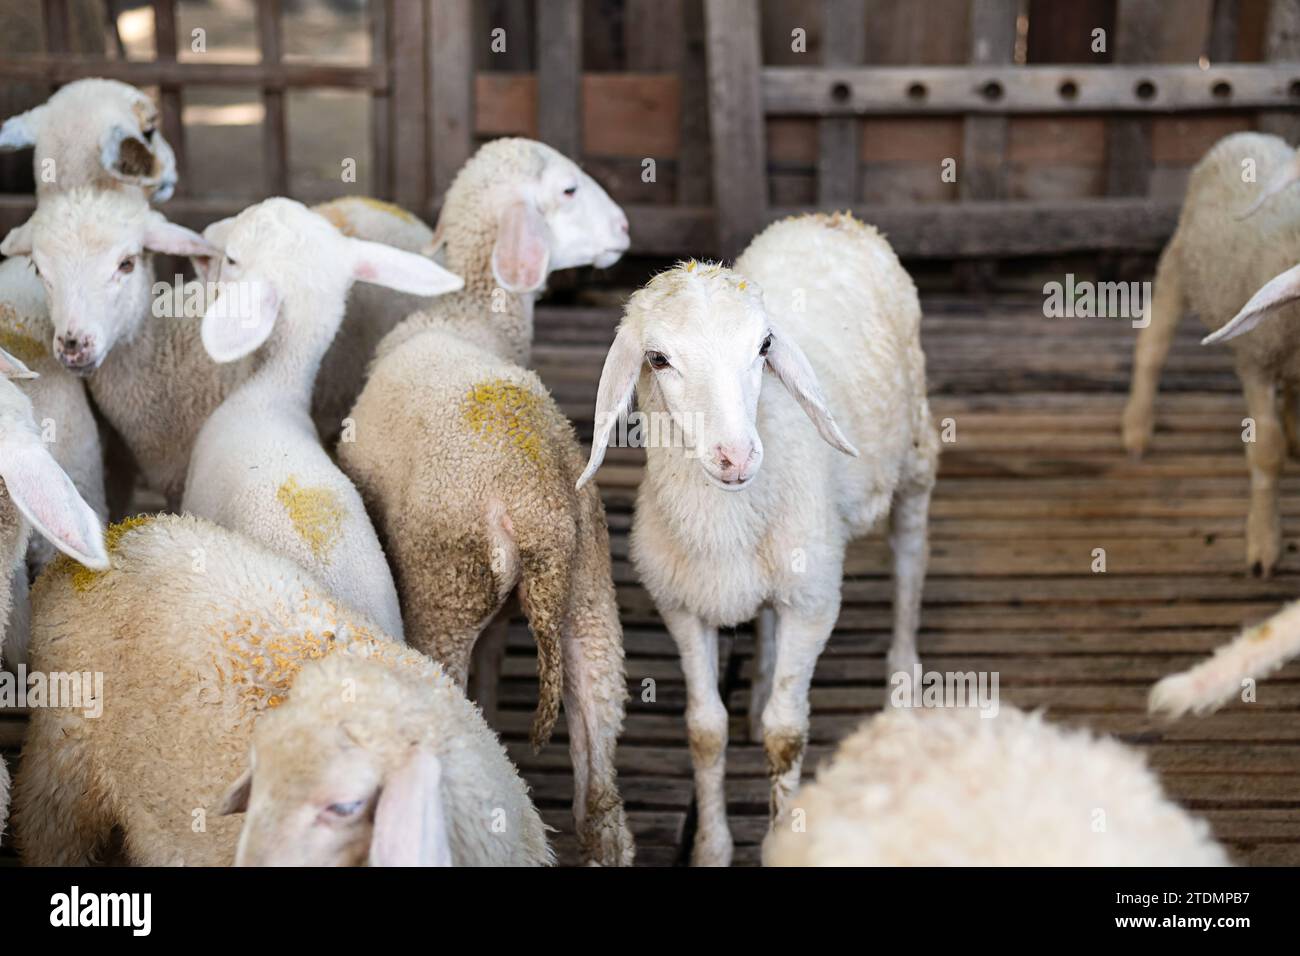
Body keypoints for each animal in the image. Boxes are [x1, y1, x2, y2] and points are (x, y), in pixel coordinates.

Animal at [338, 137, 634, 866]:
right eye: (567, 191)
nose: (624, 230)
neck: (469, 314)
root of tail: (534, 496)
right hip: (586, 592)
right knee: (602, 799)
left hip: (443, 584)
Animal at [579, 217, 940, 866]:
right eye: (658, 358)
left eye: (764, 347)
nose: (737, 456)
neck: (725, 521)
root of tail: (829, 218)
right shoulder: (682, 606)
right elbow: (704, 731)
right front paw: (711, 847)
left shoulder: (814, 602)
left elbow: (786, 735)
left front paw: (780, 840)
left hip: (916, 450)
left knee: (909, 555)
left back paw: (902, 674)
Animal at [1121, 131, 1300, 576]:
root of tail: (1247, 135)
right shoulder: (1255, 360)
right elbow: (1267, 451)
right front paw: (1264, 542)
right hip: (1179, 265)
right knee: (1152, 344)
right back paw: (1137, 428)